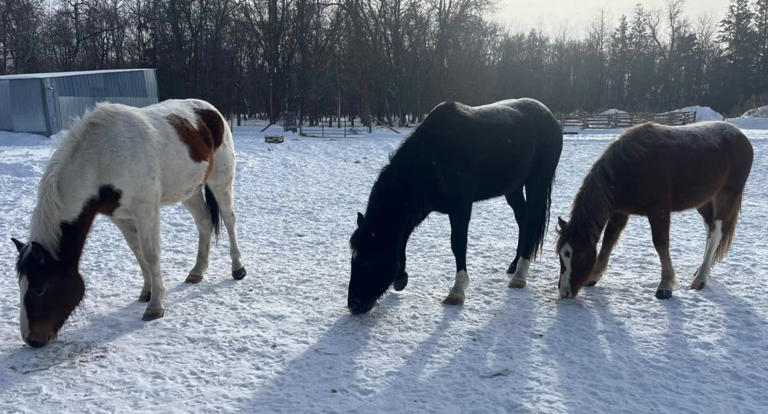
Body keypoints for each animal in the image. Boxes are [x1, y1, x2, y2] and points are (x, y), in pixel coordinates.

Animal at [12, 99, 247, 347]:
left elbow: (151, 255)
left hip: (221, 181)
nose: (32, 339)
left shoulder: (146, 211)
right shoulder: (119, 216)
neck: (101, 159)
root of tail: (211, 110)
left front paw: (155, 306)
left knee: (229, 219)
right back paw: (197, 271)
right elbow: (137, 251)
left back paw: (238, 268)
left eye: (39, 288)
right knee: (203, 223)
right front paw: (146, 293)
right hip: (189, 191)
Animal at [347, 98, 563, 314]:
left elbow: (458, 243)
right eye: (353, 256)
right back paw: (514, 265)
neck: (432, 160)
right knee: (523, 219)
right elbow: (403, 239)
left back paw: (520, 275)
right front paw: (401, 277)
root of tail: (549, 115)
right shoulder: (419, 210)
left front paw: (457, 291)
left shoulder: (461, 207)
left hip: (537, 181)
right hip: (513, 187)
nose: (354, 304)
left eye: (369, 260)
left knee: (532, 221)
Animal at [556, 121, 753, 300]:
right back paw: (702, 270)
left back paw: (701, 278)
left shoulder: (659, 213)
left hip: (726, 196)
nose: (565, 292)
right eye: (561, 255)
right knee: (710, 230)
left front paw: (665, 285)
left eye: (577, 254)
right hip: (704, 200)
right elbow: (608, 242)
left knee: (717, 232)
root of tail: (741, 136)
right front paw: (595, 276)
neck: (632, 167)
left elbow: (660, 244)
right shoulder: (619, 212)